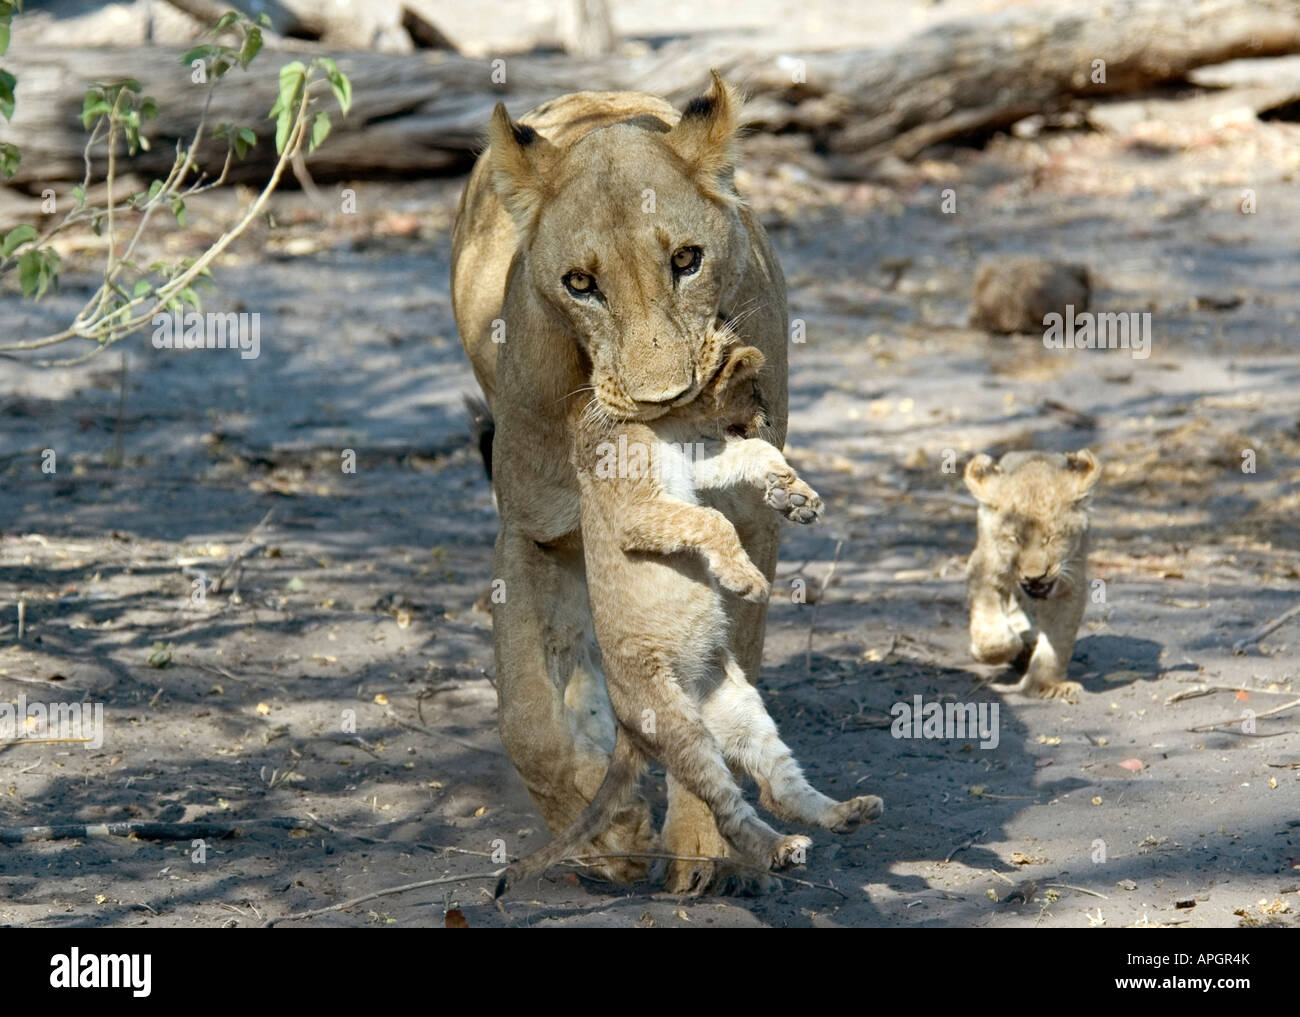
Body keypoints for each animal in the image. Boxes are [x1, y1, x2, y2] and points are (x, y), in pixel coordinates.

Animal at [450, 73, 792, 892]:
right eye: (581, 283)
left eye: (688, 260)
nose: (663, 400)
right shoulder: (531, 528)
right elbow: (527, 717)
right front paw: (609, 834)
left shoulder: (750, 524)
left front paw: (698, 844)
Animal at [495, 340, 882, 896]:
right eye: (754, 389)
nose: (769, 417)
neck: (665, 427)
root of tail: (626, 727)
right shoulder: (637, 508)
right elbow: (711, 518)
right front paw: (746, 579)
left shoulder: (696, 463)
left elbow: (749, 456)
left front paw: (795, 495)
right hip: (677, 723)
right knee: (726, 810)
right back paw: (779, 850)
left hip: (737, 706)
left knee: (777, 789)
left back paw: (847, 813)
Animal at [963, 449, 1101, 701]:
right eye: (1014, 539)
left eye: (1051, 538)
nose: (1034, 576)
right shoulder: (983, 568)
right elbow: (990, 634)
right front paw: (998, 649)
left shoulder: (1070, 587)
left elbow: (1058, 640)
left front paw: (1045, 684)